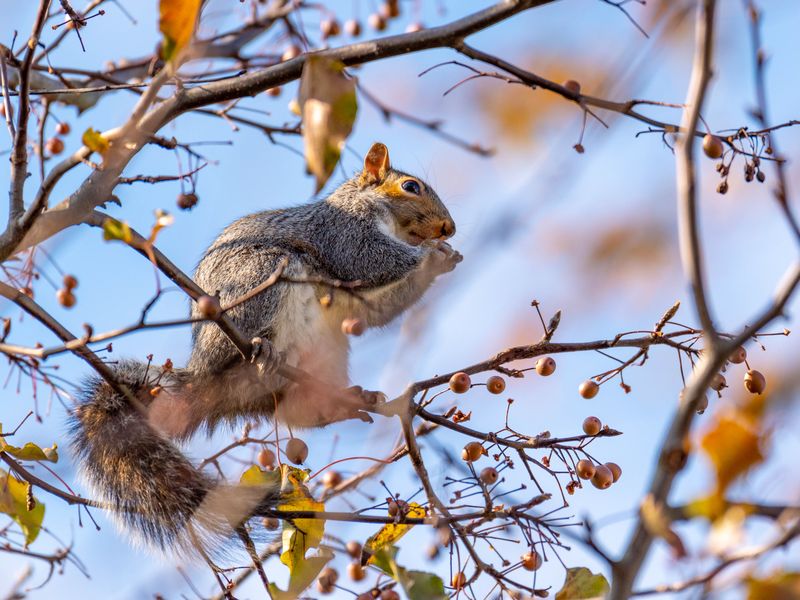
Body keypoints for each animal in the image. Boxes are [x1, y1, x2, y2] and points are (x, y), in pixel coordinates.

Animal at [70, 142, 462, 555]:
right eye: (411, 186)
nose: (449, 228)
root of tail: (206, 376)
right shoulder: (343, 231)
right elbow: (369, 260)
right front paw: (432, 253)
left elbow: (374, 310)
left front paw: (444, 258)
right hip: (260, 277)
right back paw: (264, 352)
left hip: (325, 351)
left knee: (302, 413)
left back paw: (346, 400)